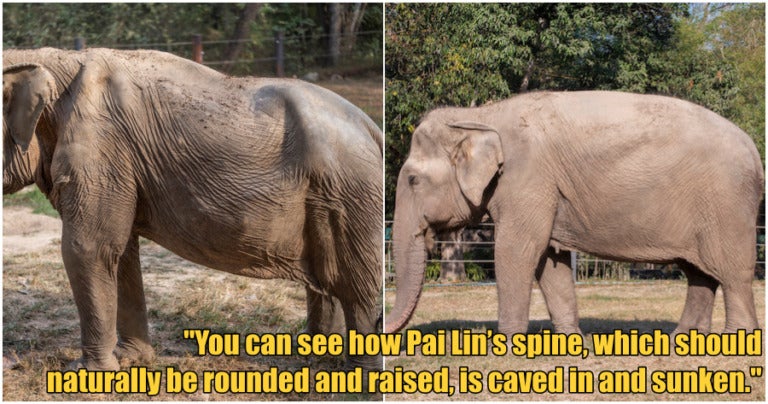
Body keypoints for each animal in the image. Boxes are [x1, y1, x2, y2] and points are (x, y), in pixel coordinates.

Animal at [3, 48, 383, 370]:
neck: (53, 61)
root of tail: (371, 125)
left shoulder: (101, 146)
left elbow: (89, 248)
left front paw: (88, 373)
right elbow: (121, 252)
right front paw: (132, 361)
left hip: (352, 192)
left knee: (358, 285)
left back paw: (359, 375)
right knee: (329, 279)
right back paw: (315, 360)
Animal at [386, 91, 763, 338]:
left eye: (413, 180)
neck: (483, 116)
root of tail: (754, 150)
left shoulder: (528, 179)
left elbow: (516, 251)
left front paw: (502, 349)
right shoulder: (545, 190)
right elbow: (550, 261)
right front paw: (572, 344)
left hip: (727, 204)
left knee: (731, 272)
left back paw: (733, 345)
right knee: (700, 272)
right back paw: (680, 344)